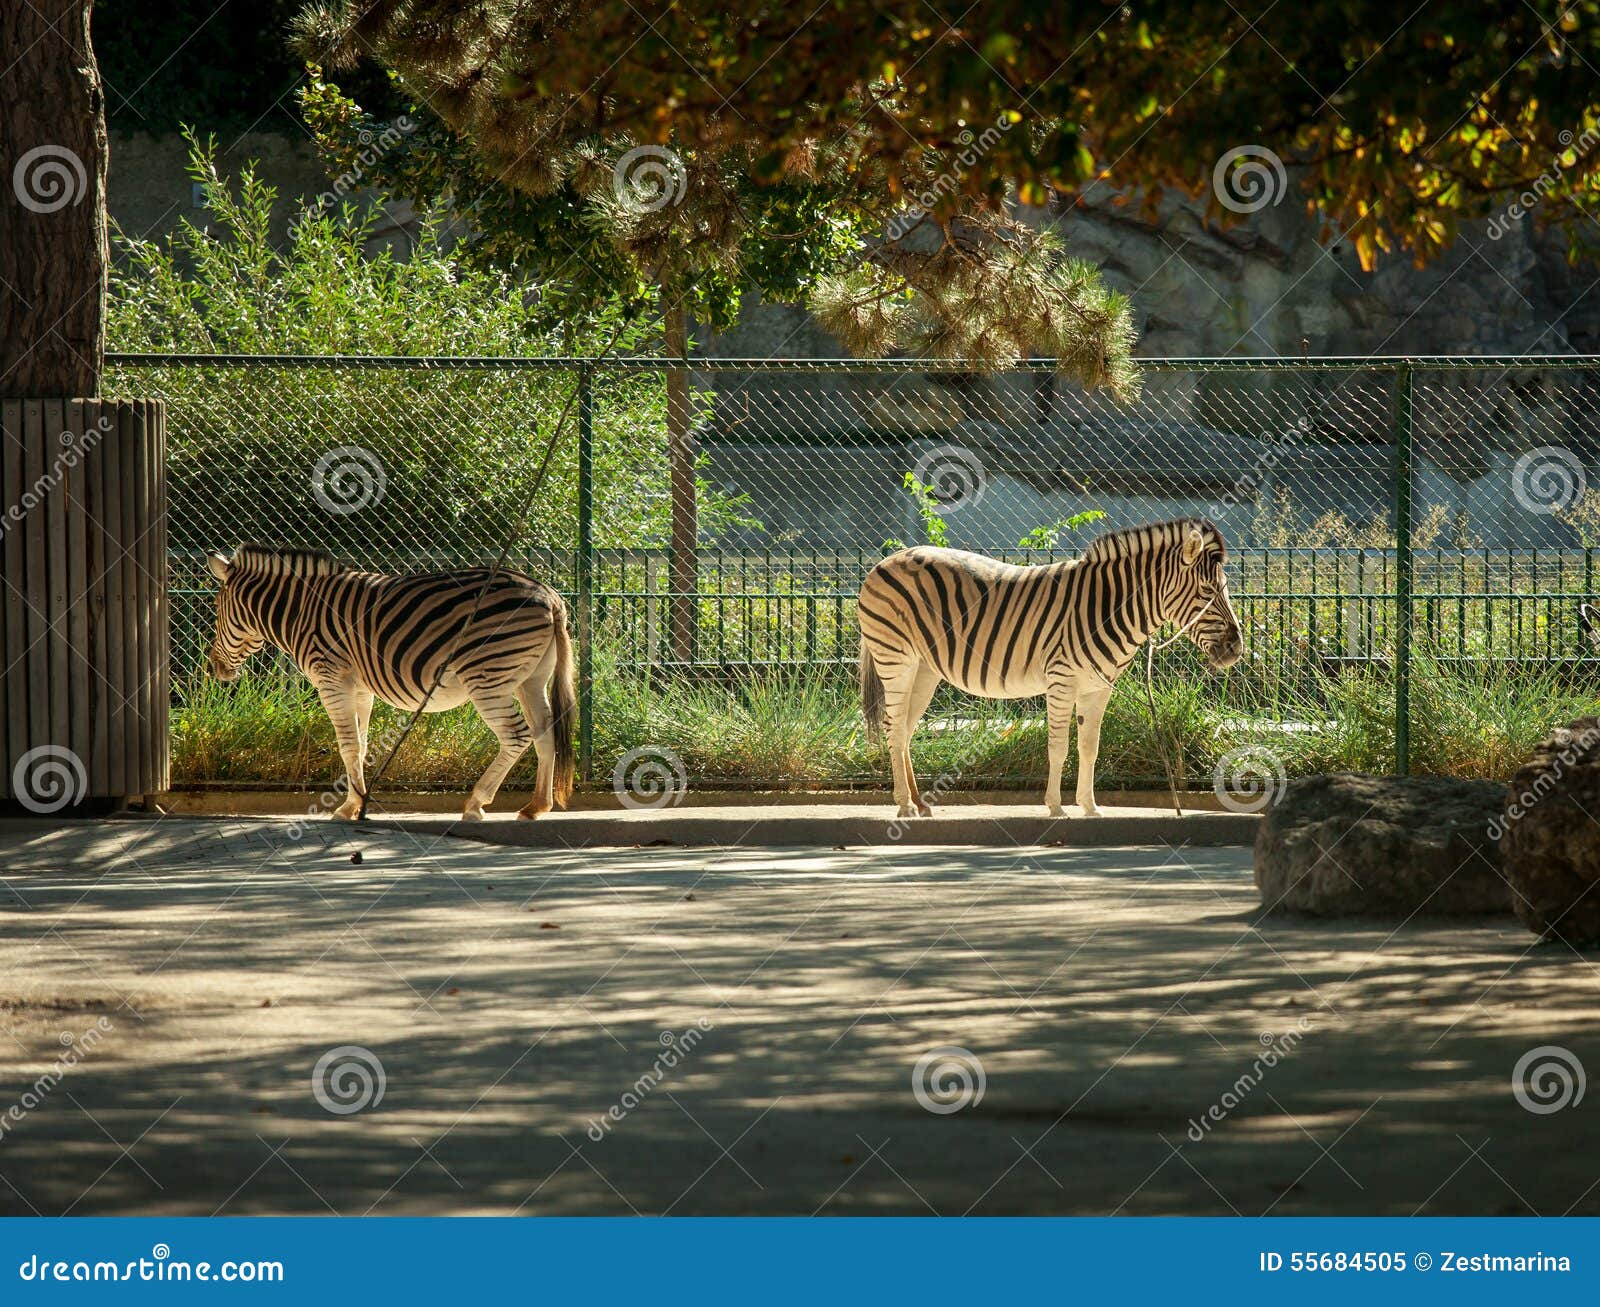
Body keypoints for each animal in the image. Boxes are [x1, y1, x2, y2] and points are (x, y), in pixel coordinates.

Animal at [205, 545, 574, 821]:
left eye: (217, 607)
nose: (213, 669)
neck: (302, 611)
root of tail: (549, 596)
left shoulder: (331, 680)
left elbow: (347, 745)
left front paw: (348, 807)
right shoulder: (359, 688)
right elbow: (361, 743)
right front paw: (358, 802)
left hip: (487, 678)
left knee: (517, 736)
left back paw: (475, 803)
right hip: (529, 680)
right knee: (544, 731)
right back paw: (536, 806)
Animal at [857, 517, 1244, 818]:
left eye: (1224, 589)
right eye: (1207, 591)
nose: (1236, 649)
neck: (1106, 607)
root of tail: (886, 559)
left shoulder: (1098, 687)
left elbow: (1090, 747)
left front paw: (1090, 807)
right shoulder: (1062, 680)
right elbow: (1058, 747)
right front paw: (1056, 807)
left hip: (925, 670)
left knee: (905, 731)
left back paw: (919, 804)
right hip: (897, 659)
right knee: (893, 729)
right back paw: (905, 806)